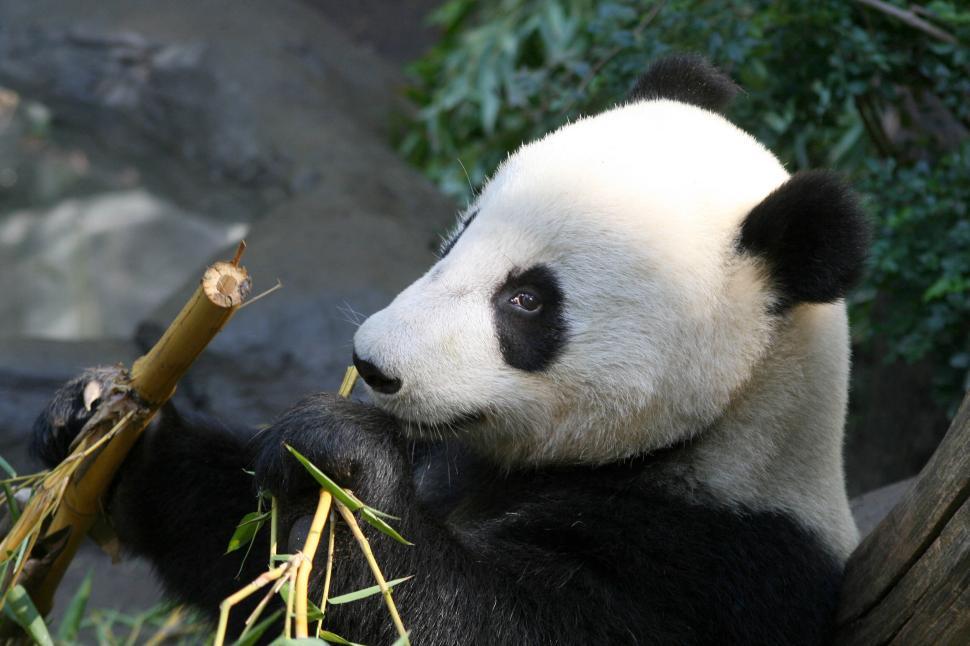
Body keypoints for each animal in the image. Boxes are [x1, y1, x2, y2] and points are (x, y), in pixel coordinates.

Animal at [33, 55, 868, 645]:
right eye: (463, 230)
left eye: (528, 301)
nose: (372, 364)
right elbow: (250, 554)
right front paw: (103, 422)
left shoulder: (713, 565)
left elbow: (471, 618)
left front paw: (342, 459)